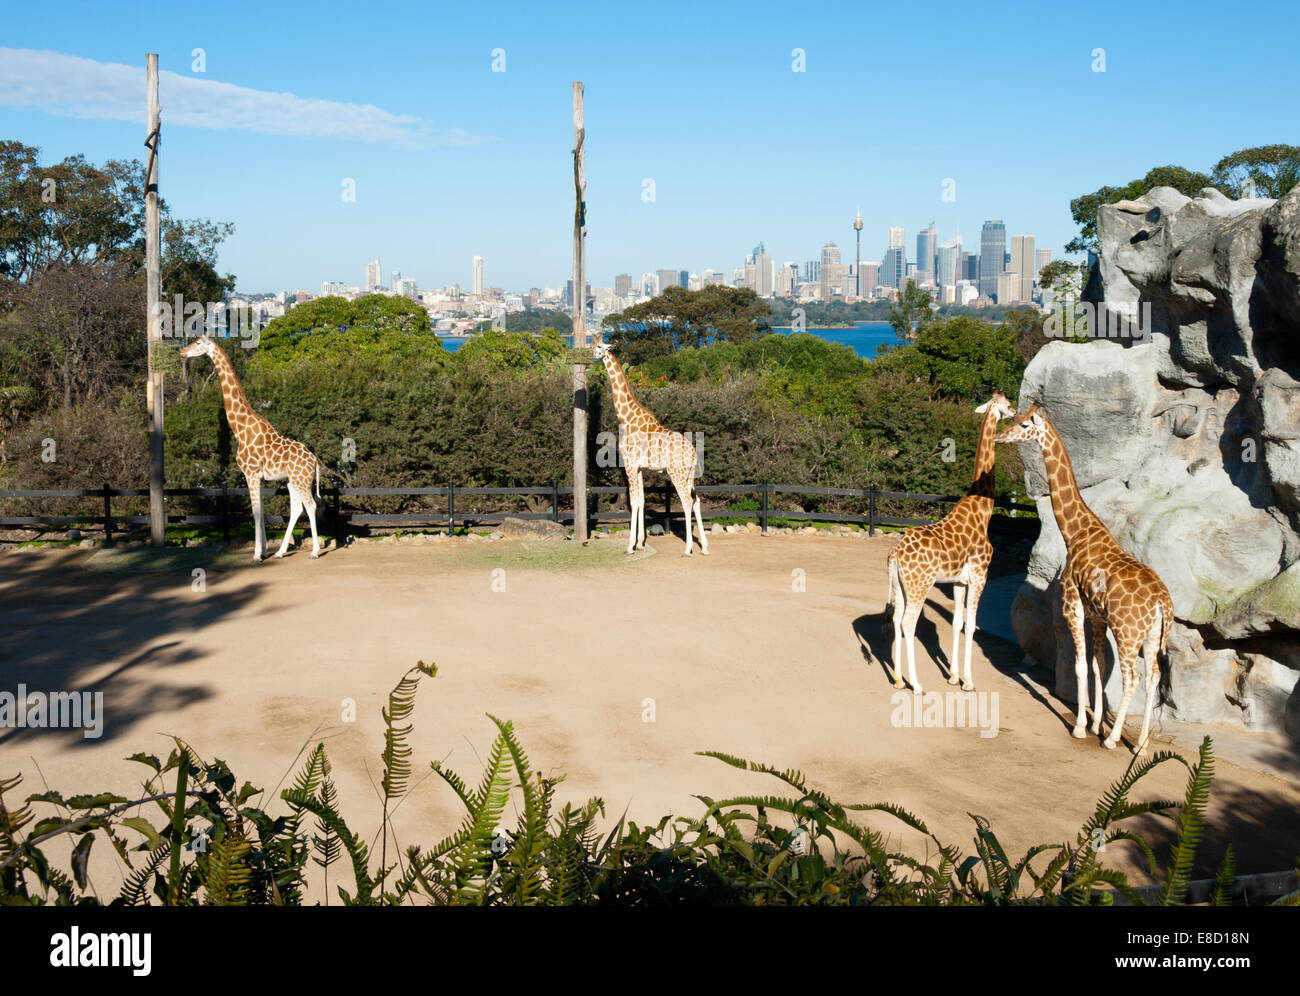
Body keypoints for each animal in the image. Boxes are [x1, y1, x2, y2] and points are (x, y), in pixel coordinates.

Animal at [179, 335, 323, 562]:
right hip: (292, 481)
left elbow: (255, 512)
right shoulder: (257, 476)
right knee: (296, 509)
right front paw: (263, 550)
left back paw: (315, 551)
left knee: (310, 506)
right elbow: (261, 511)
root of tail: (315, 460)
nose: (183, 352)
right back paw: (280, 552)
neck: (239, 429)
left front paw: (256, 555)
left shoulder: (251, 473)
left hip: (302, 480)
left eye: (198, 343)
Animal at [589, 338, 709, 557]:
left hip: (676, 472)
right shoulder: (639, 468)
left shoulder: (629, 465)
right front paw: (639, 543)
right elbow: (642, 501)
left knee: (687, 502)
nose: (589, 354)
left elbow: (633, 502)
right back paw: (704, 547)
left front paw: (630, 546)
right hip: (689, 475)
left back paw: (688, 549)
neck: (627, 418)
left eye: (599, 347)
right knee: (696, 501)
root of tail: (694, 454)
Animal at [885, 391, 1016, 695]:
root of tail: (894, 555)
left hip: (900, 585)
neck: (982, 511)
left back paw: (898, 679)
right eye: (1007, 404)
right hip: (920, 584)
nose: (1016, 413)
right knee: (909, 623)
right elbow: (972, 625)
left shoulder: (959, 581)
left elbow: (957, 622)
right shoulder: (980, 575)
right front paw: (968, 681)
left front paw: (954, 676)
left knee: (897, 619)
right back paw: (916, 684)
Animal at [995, 404, 1173, 754]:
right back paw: (1142, 745)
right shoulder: (1097, 615)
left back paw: (1114, 739)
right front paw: (1094, 723)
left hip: (1128, 633)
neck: (1075, 532)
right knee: (1153, 678)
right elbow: (1098, 665)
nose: (999, 436)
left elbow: (1079, 665)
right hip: (1153, 635)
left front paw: (1080, 727)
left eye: (1023, 425)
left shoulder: (1073, 605)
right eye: (1014, 417)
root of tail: (1162, 602)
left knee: (1133, 679)